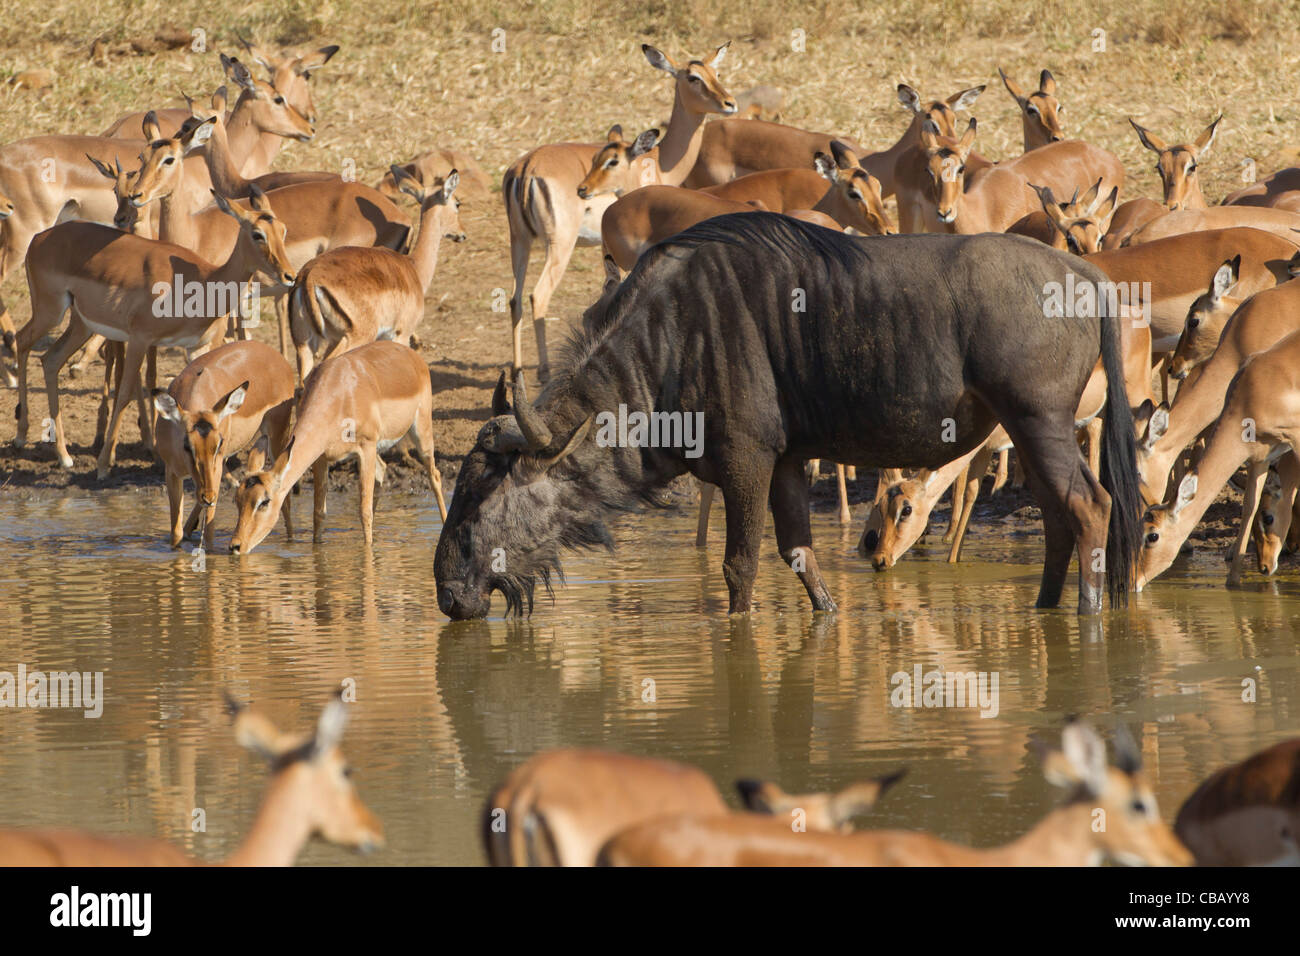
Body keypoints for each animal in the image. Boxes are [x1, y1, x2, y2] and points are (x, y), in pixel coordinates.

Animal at [14, 174, 295, 479]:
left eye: (283, 230)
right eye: (257, 234)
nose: (289, 276)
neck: (203, 280)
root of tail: (39, 239)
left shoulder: (196, 347)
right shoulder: (141, 339)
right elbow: (125, 392)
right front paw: (104, 464)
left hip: (81, 325)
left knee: (50, 360)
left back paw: (64, 456)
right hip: (50, 312)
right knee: (22, 340)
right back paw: (21, 436)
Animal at [153, 340, 296, 549]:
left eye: (218, 444)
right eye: (187, 445)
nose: (208, 497)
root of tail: (275, 354)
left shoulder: (217, 464)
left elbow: (209, 532)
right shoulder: (171, 471)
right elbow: (175, 533)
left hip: (277, 435)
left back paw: (291, 539)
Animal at [229, 340, 449, 553]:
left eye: (264, 501)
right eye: (237, 500)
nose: (235, 546)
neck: (340, 394)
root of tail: (412, 356)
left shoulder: (366, 448)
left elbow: (363, 511)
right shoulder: (321, 458)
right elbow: (318, 512)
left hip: (421, 433)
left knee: (435, 476)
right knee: (382, 471)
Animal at [289, 167, 465, 381]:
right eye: (457, 203)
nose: (461, 234)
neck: (413, 267)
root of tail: (309, 277)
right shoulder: (401, 334)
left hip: (305, 345)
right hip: (354, 337)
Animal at [503, 42, 737, 379]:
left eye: (716, 73)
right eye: (693, 77)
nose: (729, 103)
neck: (659, 161)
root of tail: (526, 168)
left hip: (519, 242)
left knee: (515, 300)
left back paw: (518, 375)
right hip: (560, 244)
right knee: (539, 296)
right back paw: (545, 372)